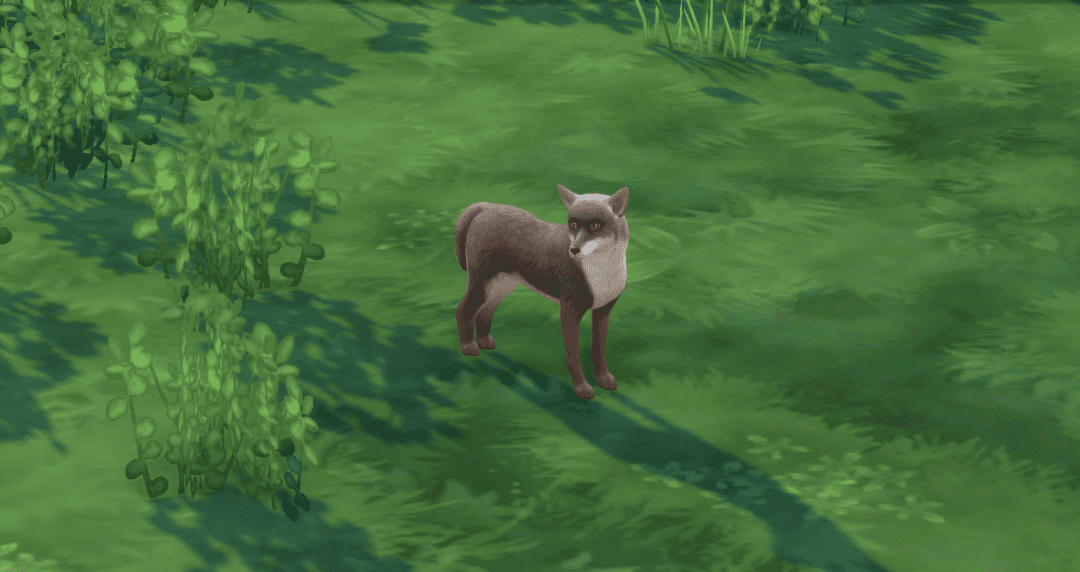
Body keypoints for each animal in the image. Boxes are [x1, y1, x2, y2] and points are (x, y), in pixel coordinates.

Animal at [454, 184, 630, 400]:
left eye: (595, 225)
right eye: (573, 224)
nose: (574, 250)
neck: (603, 269)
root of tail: (486, 206)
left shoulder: (603, 312)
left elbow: (598, 351)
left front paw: (604, 379)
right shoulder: (569, 310)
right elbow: (573, 356)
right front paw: (581, 388)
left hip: (500, 287)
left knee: (485, 312)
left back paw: (485, 341)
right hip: (482, 285)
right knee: (462, 310)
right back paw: (468, 346)